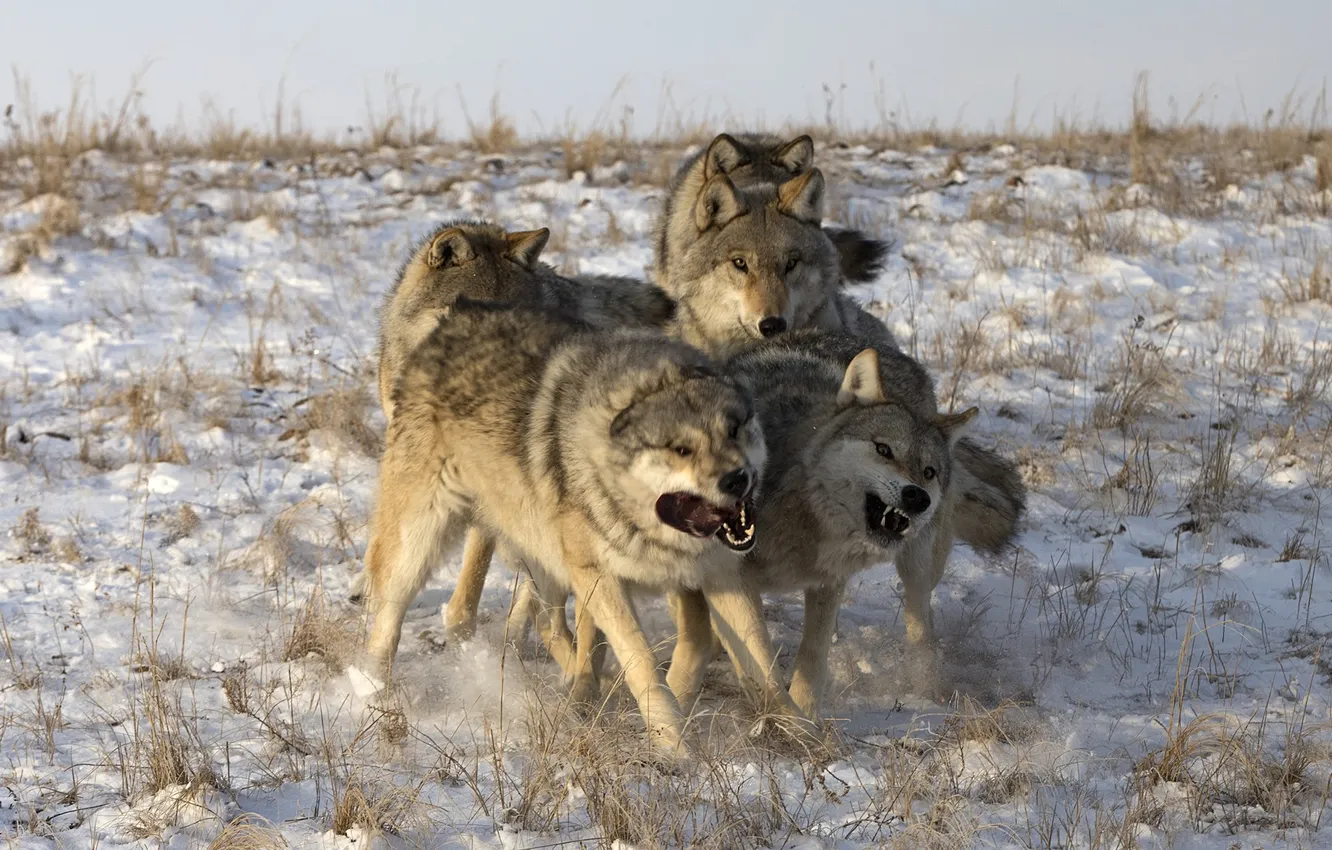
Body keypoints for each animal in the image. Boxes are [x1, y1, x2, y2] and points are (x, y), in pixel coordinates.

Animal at [364, 303, 803, 755]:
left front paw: (810, 742)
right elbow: (644, 664)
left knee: (553, 627)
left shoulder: (722, 574)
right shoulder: (601, 577)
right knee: (388, 615)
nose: (737, 480)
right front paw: (677, 748)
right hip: (420, 544)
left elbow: (763, 661)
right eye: (681, 449)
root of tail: (457, 315)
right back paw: (372, 691)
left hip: (543, 557)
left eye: (734, 430)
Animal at [666, 331, 979, 719]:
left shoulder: (828, 581)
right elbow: (757, 658)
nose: (917, 497)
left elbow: (812, 660)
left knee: (920, 617)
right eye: (884, 450)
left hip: (919, 567)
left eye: (929, 472)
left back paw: (927, 687)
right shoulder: (727, 577)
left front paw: (804, 720)